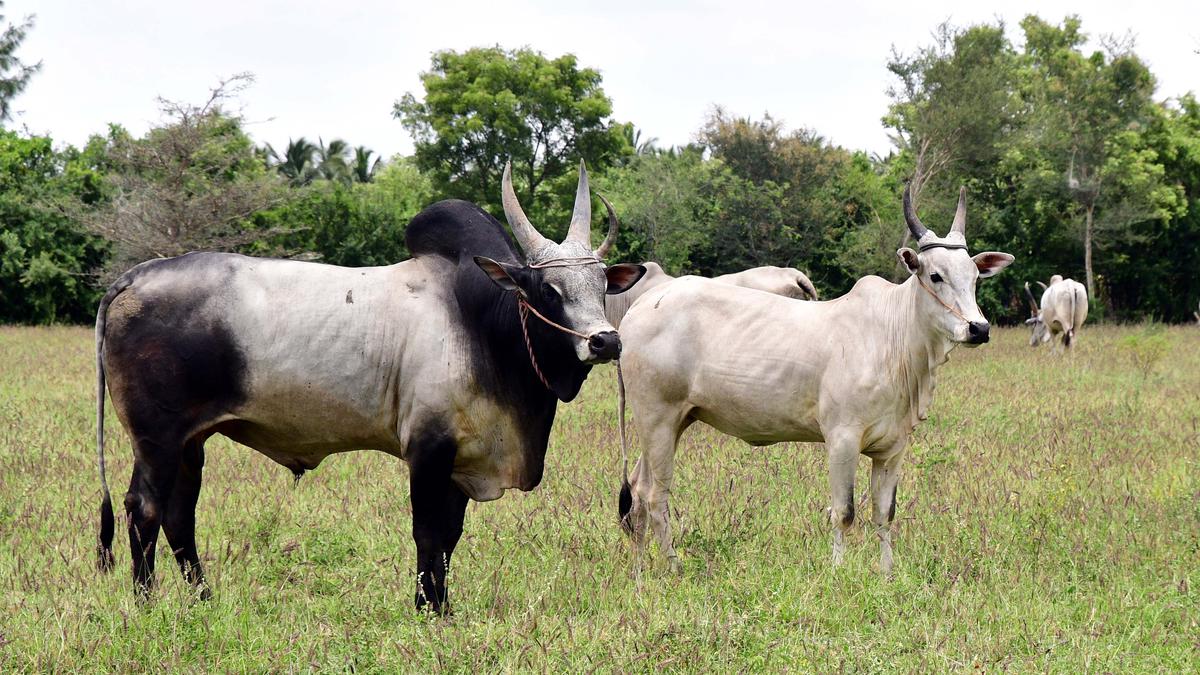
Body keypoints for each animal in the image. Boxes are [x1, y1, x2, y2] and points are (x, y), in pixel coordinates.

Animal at [93, 161, 646, 614]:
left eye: (601, 286)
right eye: (548, 290)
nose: (605, 341)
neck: (483, 323)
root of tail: (135, 276)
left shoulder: (462, 454)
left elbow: (450, 536)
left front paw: (443, 608)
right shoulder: (428, 448)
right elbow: (429, 533)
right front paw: (426, 611)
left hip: (191, 442)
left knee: (178, 514)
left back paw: (204, 599)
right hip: (157, 440)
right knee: (143, 508)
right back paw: (146, 603)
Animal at [614, 185, 1013, 576]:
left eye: (974, 278)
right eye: (935, 276)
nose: (979, 328)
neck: (892, 336)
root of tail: (639, 308)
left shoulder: (893, 447)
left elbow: (884, 514)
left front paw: (887, 574)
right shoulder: (842, 439)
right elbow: (844, 512)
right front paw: (837, 572)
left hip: (674, 422)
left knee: (637, 490)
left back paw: (638, 569)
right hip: (657, 417)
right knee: (656, 495)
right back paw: (671, 567)